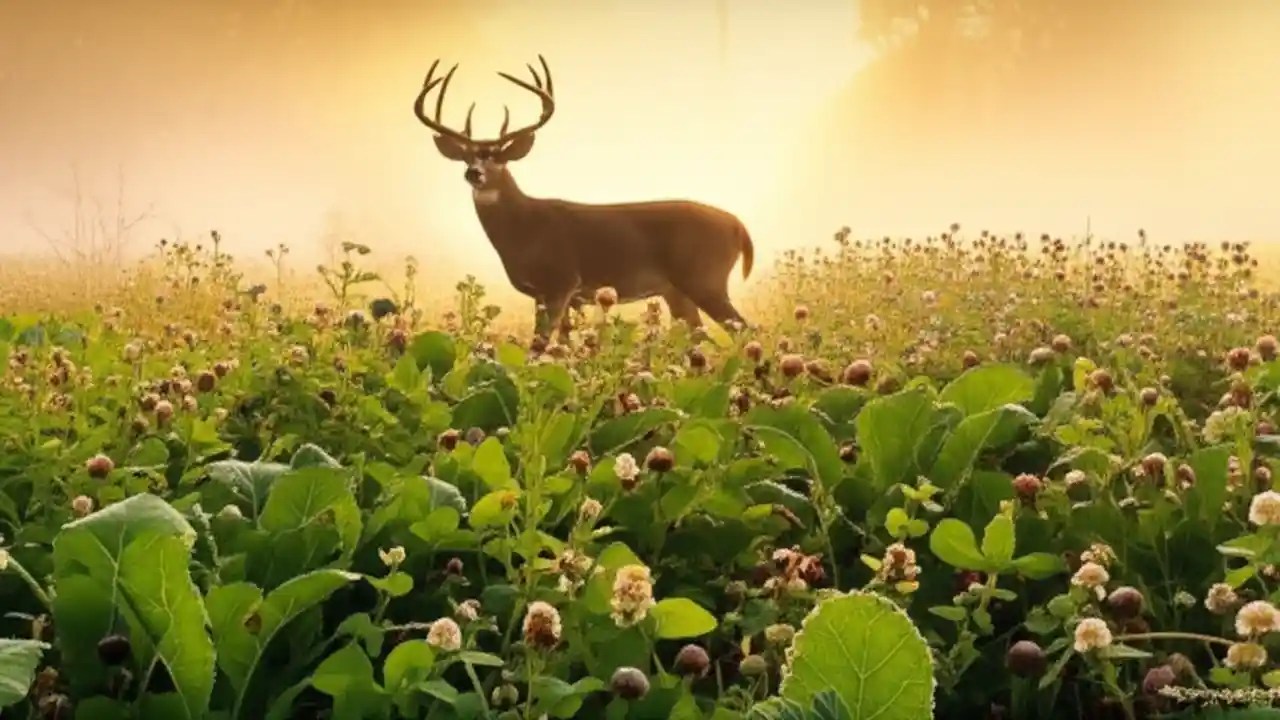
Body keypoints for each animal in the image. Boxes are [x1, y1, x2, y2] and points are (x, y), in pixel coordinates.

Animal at [412, 55, 754, 342]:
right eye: (467, 157)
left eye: (499, 158)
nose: (474, 173)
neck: (525, 229)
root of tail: (739, 226)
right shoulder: (555, 295)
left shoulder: (562, 281)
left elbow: (540, 343)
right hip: (677, 290)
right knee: (698, 335)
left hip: (704, 278)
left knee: (743, 330)